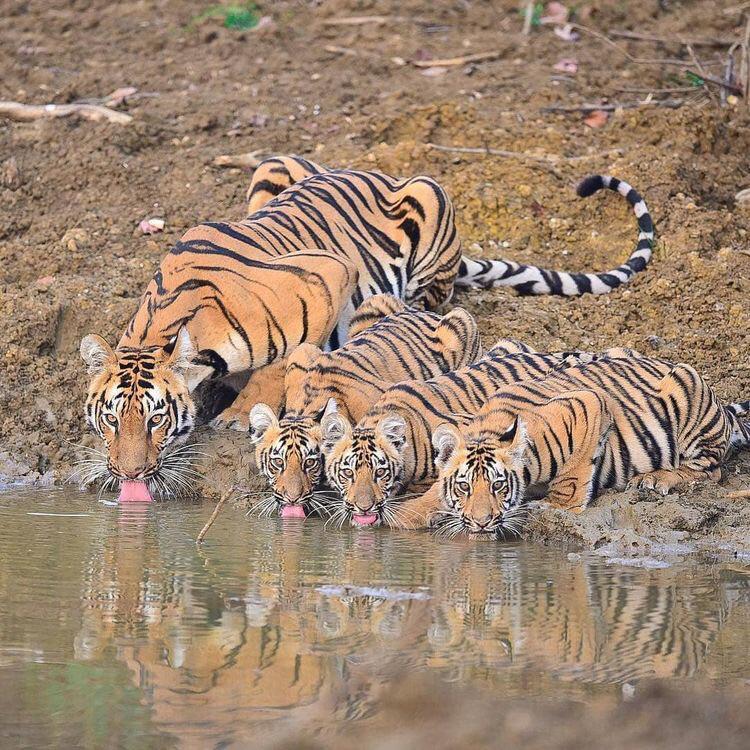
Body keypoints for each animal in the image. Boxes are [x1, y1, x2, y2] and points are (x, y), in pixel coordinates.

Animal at [247, 294, 481, 518]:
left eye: (310, 462)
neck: (307, 404)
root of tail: (424, 311)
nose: (292, 498)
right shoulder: (302, 352)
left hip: (462, 321)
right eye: (277, 463)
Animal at [399, 351, 750, 537]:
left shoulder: (589, 403)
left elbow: (572, 475)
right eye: (464, 487)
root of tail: (724, 408)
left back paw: (654, 479)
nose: (482, 522)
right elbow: (428, 499)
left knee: (711, 470)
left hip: (688, 390)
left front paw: (557, 508)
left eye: (498, 486)